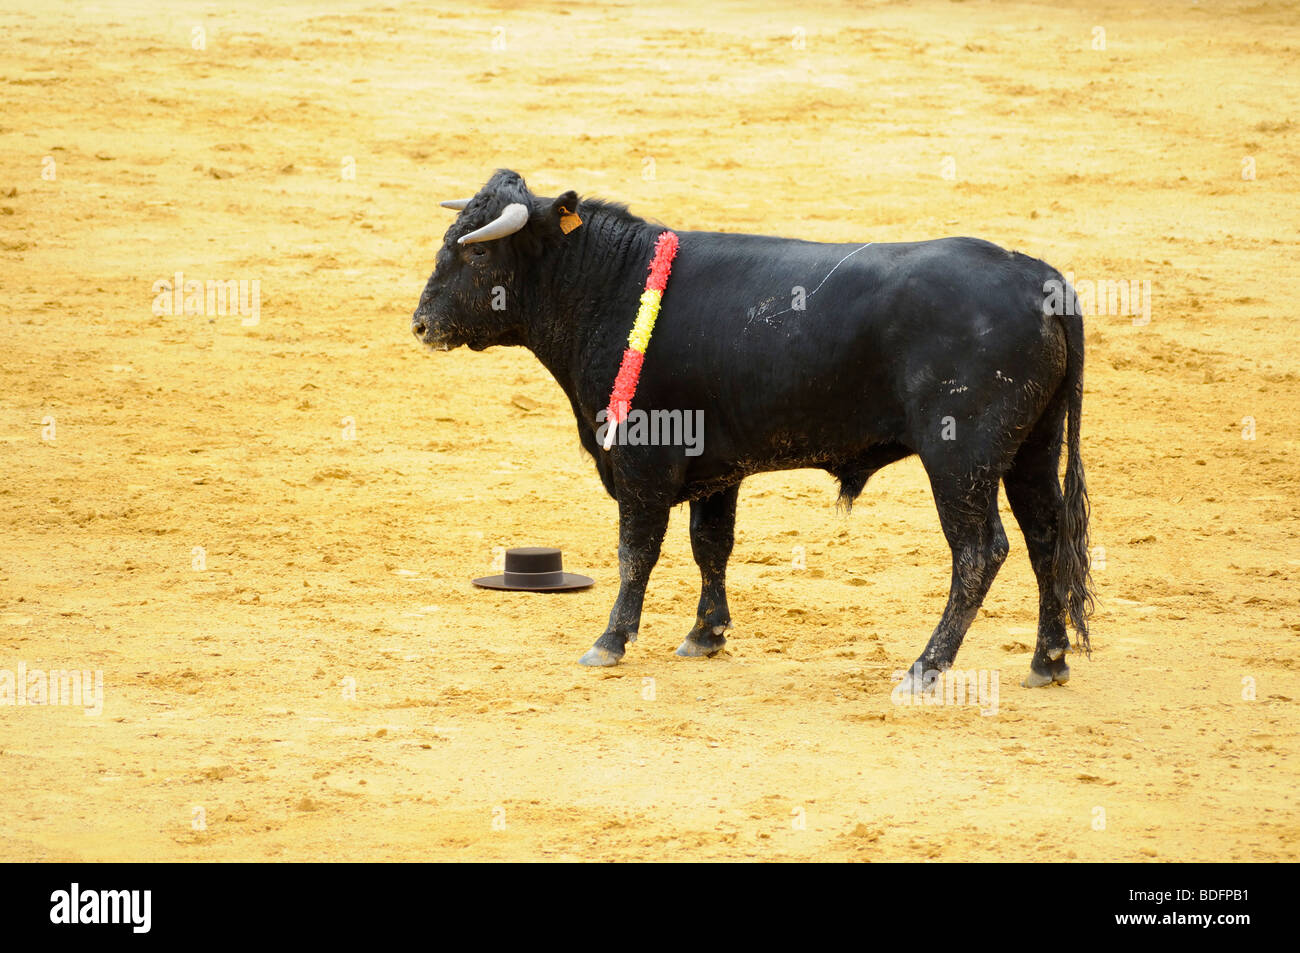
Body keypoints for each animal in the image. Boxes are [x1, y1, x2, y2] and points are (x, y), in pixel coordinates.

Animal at [412, 169, 1094, 690]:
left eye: (477, 251)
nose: (420, 323)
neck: (611, 285)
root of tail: (1038, 278)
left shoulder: (642, 461)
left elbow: (637, 552)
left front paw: (610, 641)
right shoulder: (716, 468)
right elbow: (710, 545)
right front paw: (704, 634)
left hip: (961, 460)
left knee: (980, 552)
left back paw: (926, 667)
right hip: (1033, 448)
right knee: (1046, 537)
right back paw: (1048, 660)